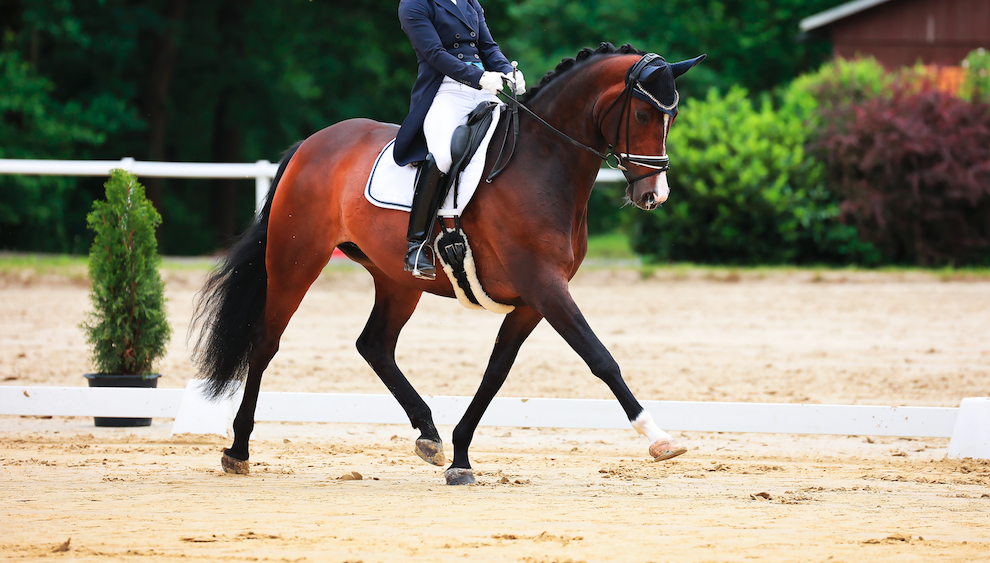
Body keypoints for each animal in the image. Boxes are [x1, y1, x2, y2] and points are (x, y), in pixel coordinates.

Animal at [192, 42, 705, 485]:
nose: (654, 196)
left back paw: (429, 436)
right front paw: (660, 439)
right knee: (265, 341)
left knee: (374, 345)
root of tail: (311, 143)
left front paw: (459, 456)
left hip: (397, 280)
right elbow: (600, 358)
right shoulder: (545, 286)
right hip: (296, 260)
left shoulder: (532, 300)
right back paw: (237, 450)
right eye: (643, 113)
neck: (543, 163)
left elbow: (496, 372)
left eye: (673, 116)